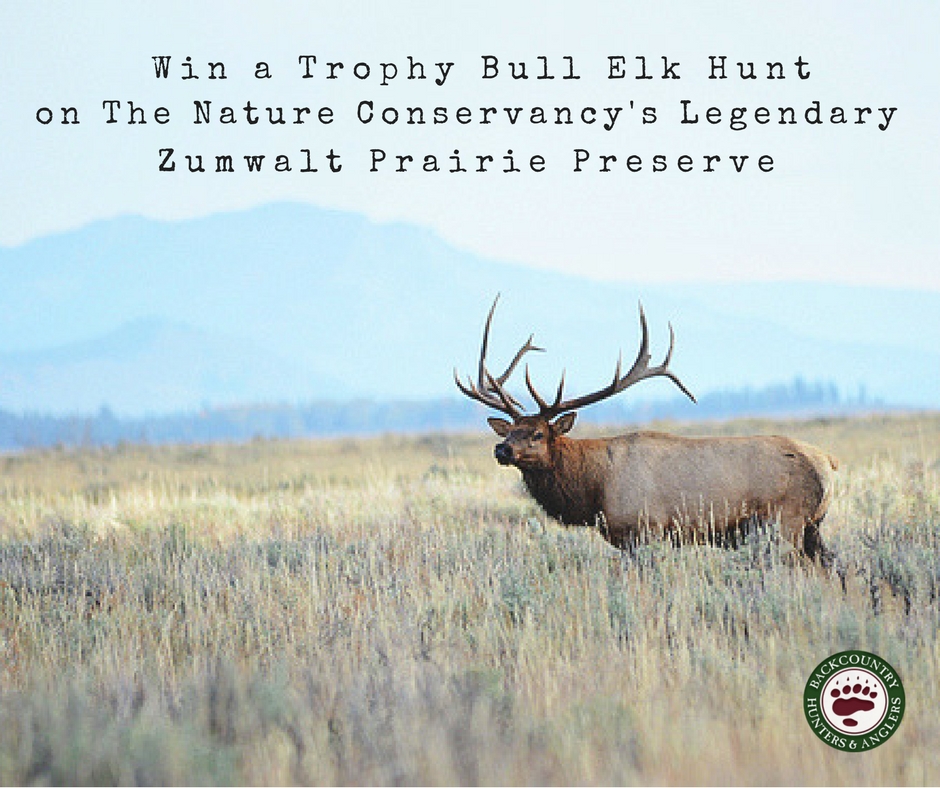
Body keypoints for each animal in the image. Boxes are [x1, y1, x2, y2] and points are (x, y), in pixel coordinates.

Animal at [455, 296, 839, 561]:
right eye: (508, 431)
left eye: (537, 434)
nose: (501, 449)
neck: (595, 489)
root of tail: (828, 464)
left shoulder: (644, 531)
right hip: (811, 528)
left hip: (785, 521)